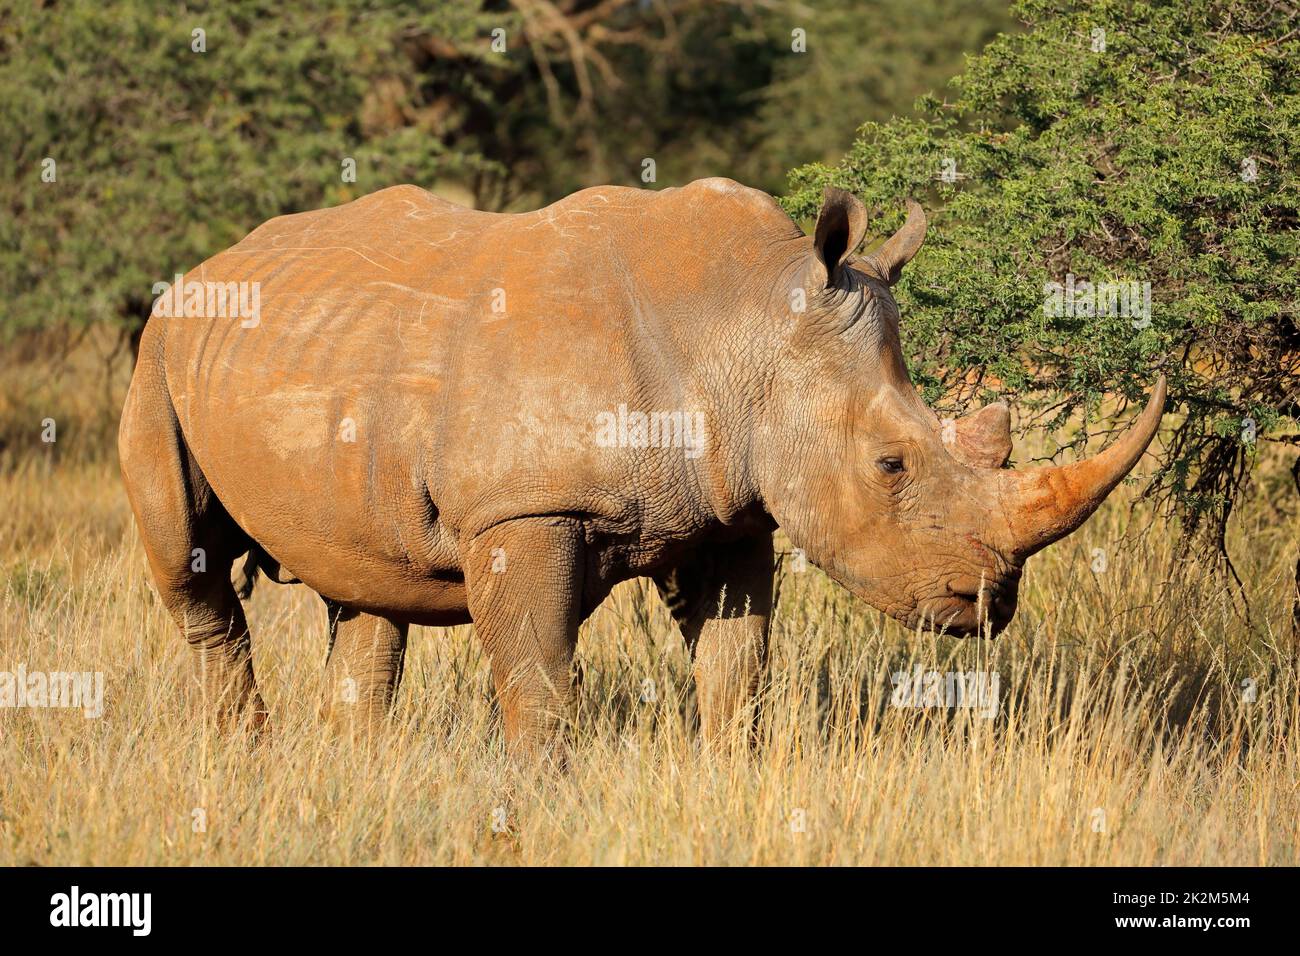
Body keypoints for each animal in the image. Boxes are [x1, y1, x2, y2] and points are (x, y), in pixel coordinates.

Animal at [118, 178, 1165, 758]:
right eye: (891, 464)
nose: (989, 600)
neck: (749, 320)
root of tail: (211, 266)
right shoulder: (524, 510)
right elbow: (539, 675)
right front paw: (542, 799)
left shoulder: (735, 506)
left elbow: (738, 666)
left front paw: (731, 774)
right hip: (159, 352)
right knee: (190, 565)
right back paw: (248, 757)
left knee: (366, 592)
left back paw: (352, 766)